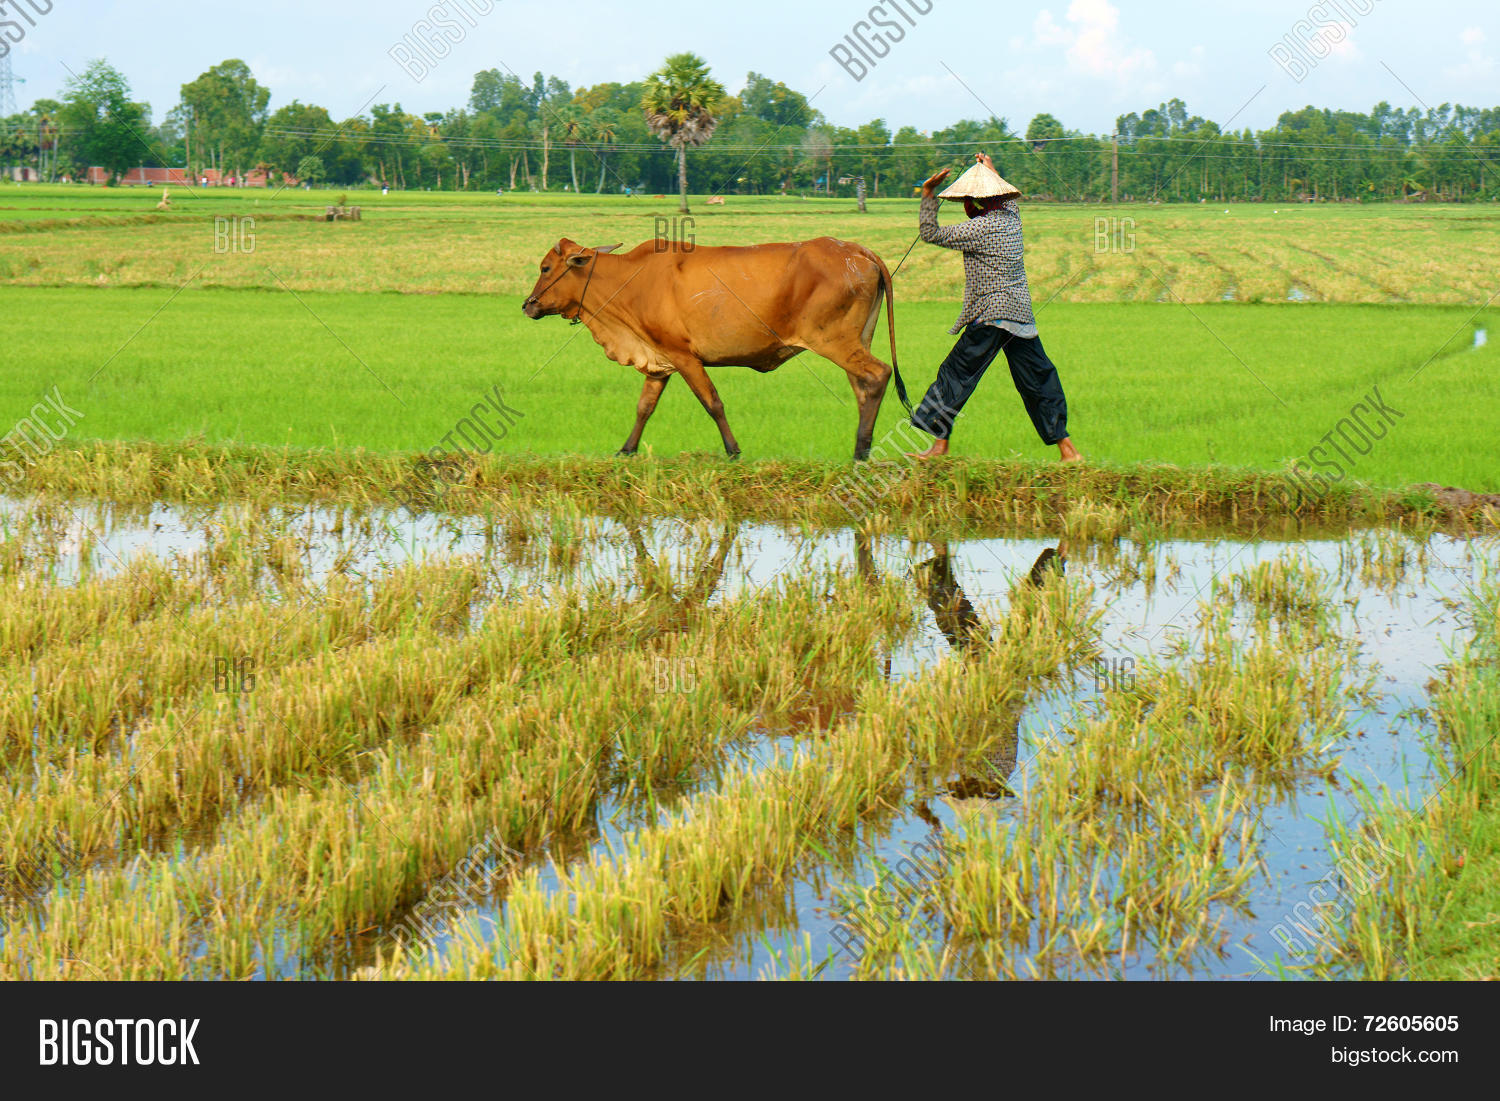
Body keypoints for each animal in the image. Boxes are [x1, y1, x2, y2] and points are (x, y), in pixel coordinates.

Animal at [521, 236, 912, 460]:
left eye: (545, 268)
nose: (528, 304)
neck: (628, 281)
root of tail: (861, 251)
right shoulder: (660, 361)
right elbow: (644, 407)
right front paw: (626, 450)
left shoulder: (684, 357)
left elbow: (713, 402)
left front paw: (733, 450)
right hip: (858, 338)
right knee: (863, 387)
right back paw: (862, 447)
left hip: (834, 341)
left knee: (878, 374)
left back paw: (861, 449)